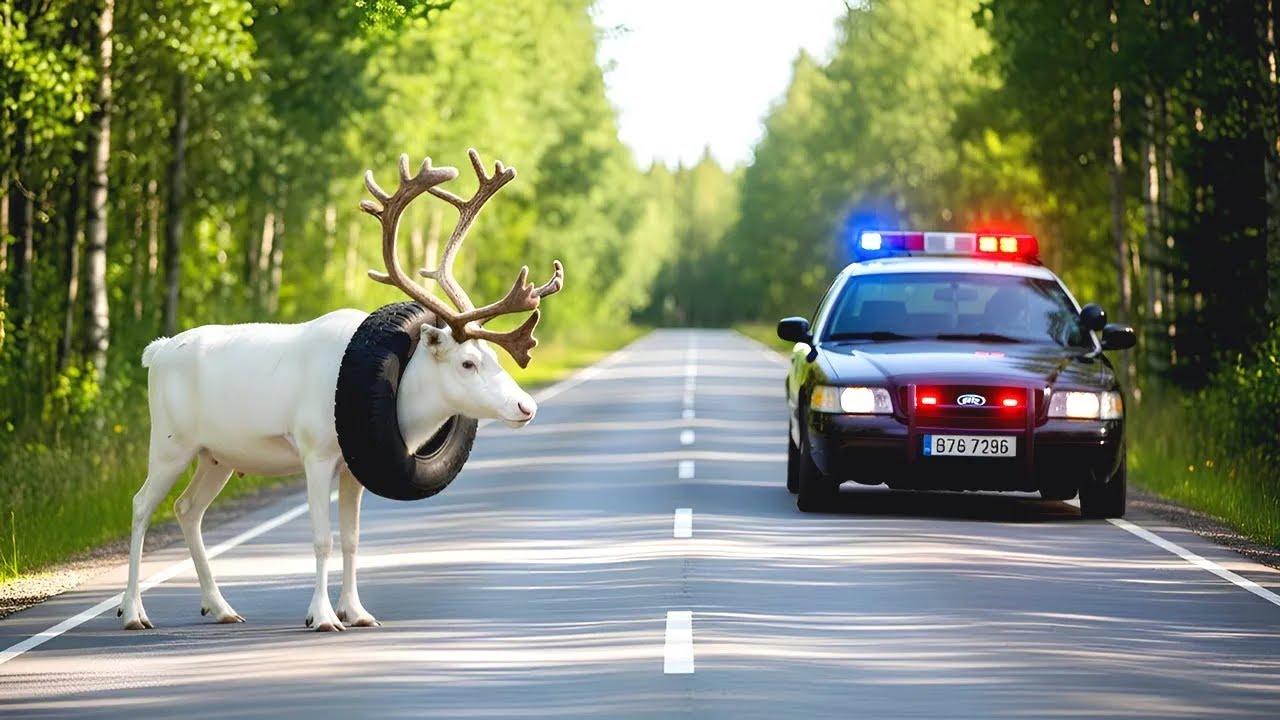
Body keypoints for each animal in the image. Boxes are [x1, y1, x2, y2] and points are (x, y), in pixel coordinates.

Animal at [120, 150, 563, 632]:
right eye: (468, 362)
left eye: (495, 357)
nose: (526, 405)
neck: (404, 409)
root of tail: (156, 352)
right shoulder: (315, 452)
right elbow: (323, 538)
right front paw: (322, 616)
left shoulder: (356, 467)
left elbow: (352, 539)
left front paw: (357, 611)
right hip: (169, 442)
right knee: (141, 504)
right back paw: (133, 611)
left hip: (216, 455)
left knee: (187, 509)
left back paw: (219, 606)